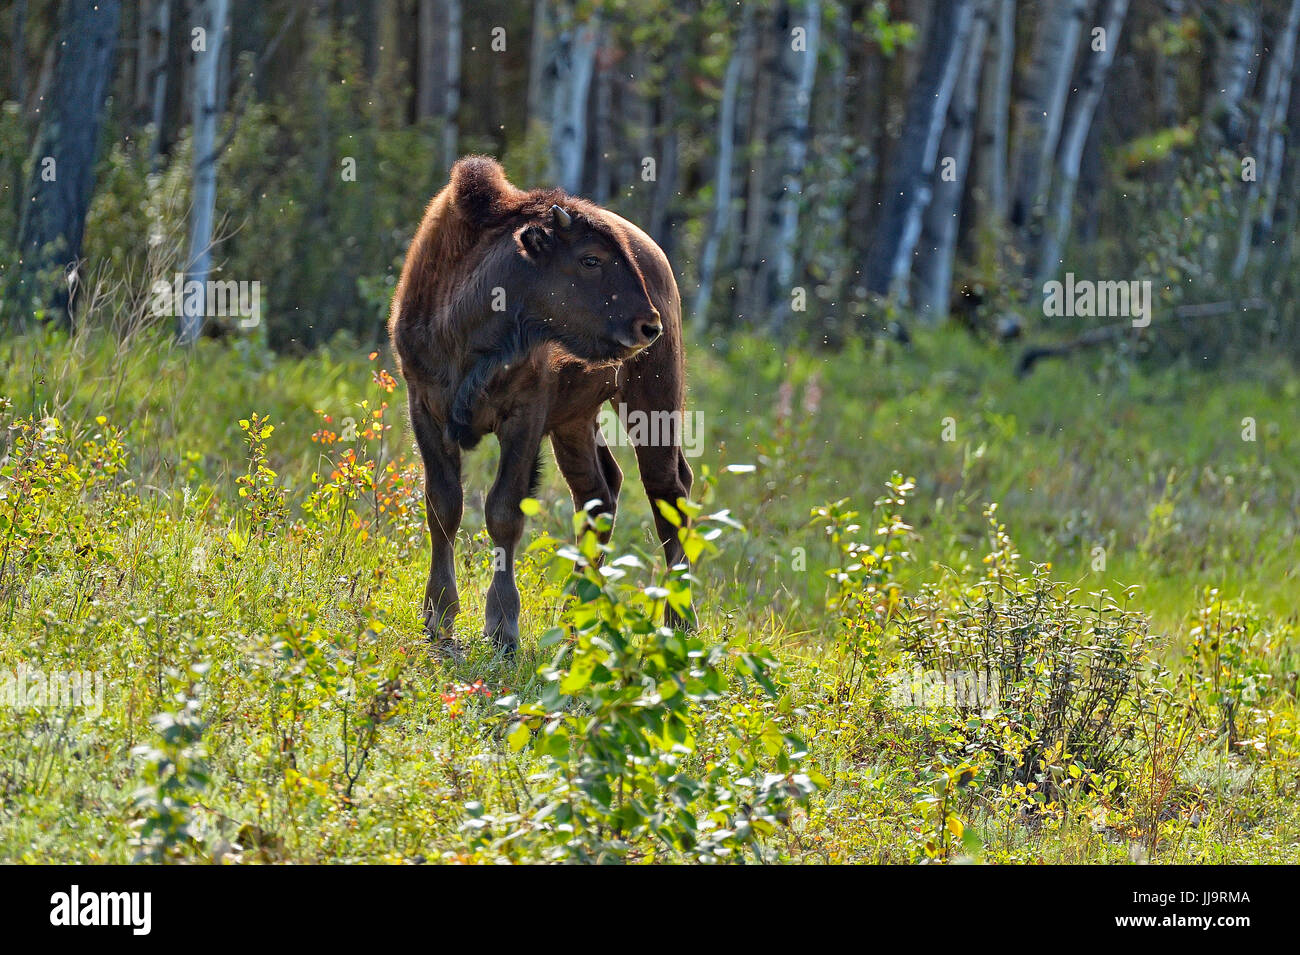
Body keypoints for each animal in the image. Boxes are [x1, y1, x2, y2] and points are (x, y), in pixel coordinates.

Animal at [388, 156, 693, 655]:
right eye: (590, 258)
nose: (649, 325)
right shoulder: (425, 409)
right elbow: (444, 505)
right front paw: (438, 616)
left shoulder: (524, 419)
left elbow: (503, 512)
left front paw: (501, 628)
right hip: (575, 422)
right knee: (599, 492)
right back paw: (575, 617)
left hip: (652, 401)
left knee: (668, 493)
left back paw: (680, 624)